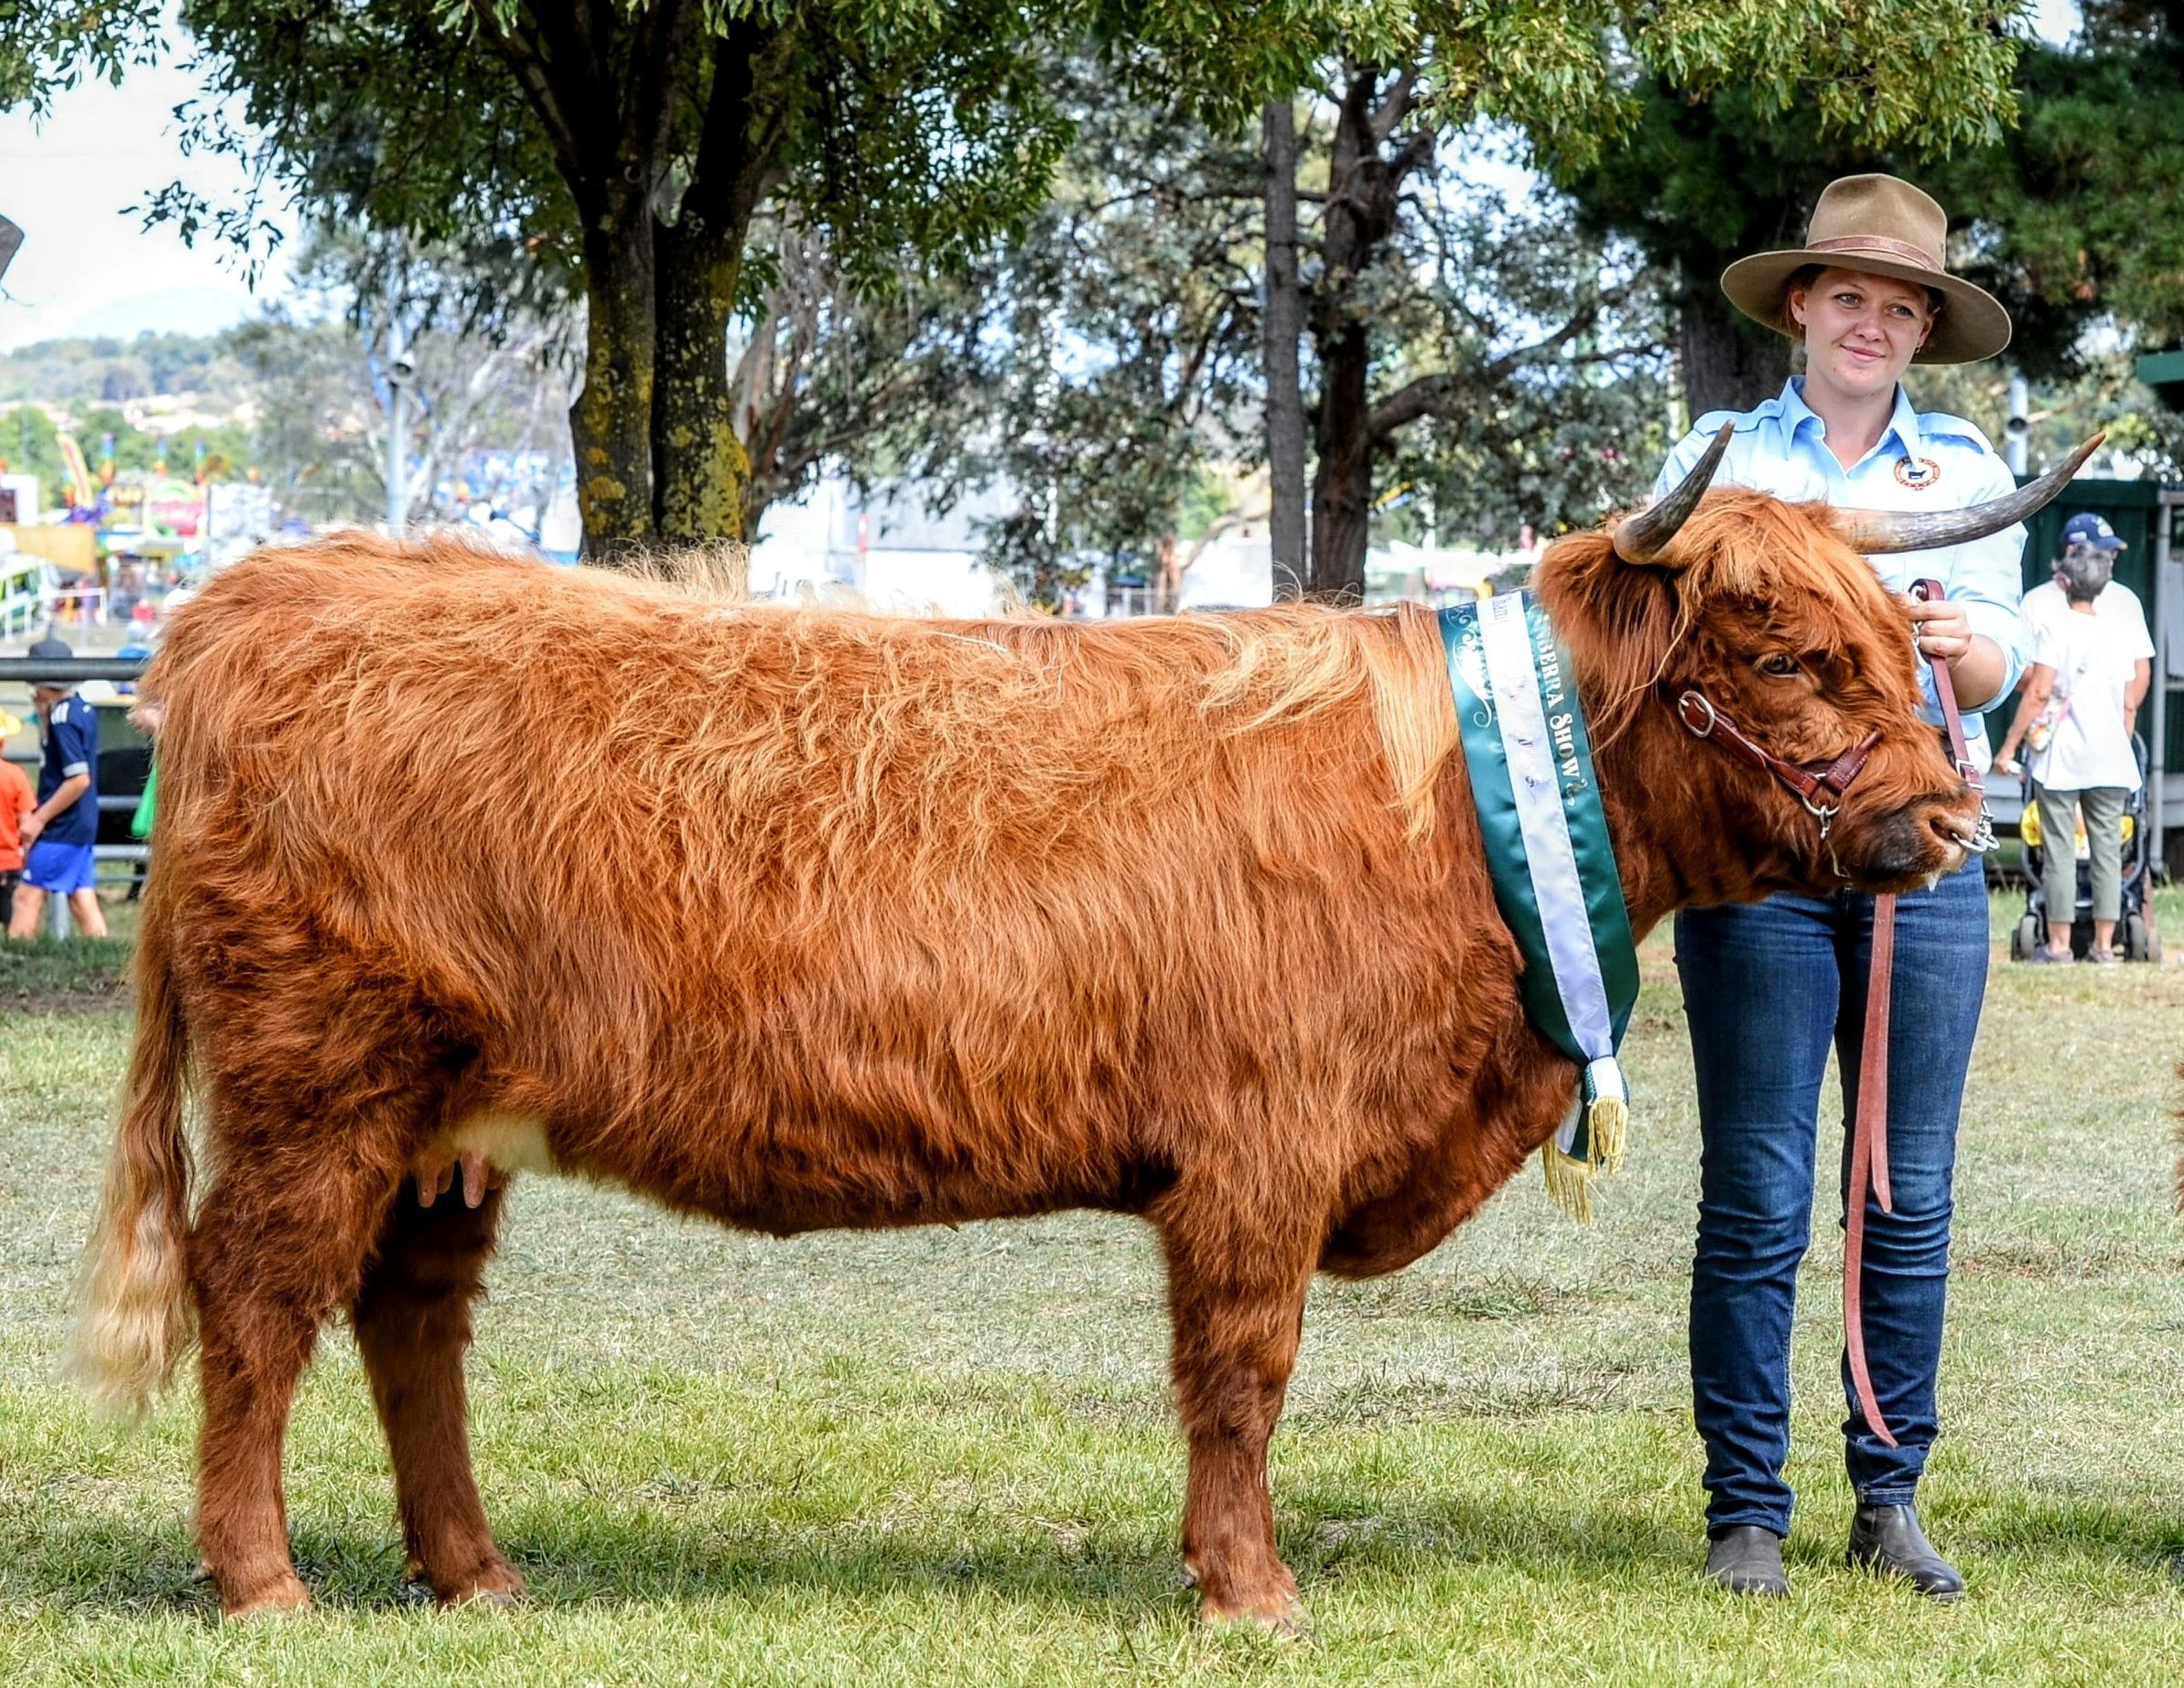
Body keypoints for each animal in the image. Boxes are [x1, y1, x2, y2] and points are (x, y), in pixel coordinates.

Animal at [66, 439, 2079, 1625]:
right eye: (1783, 651)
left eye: (1902, 639)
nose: (1948, 823)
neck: (1449, 799)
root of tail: (266, 588)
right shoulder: (1259, 1151)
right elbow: (1241, 1371)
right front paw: (1248, 1589)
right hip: (320, 1086)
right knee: (261, 1302)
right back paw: (263, 1582)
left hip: (446, 1124)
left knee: (409, 1321)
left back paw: (472, 1573)